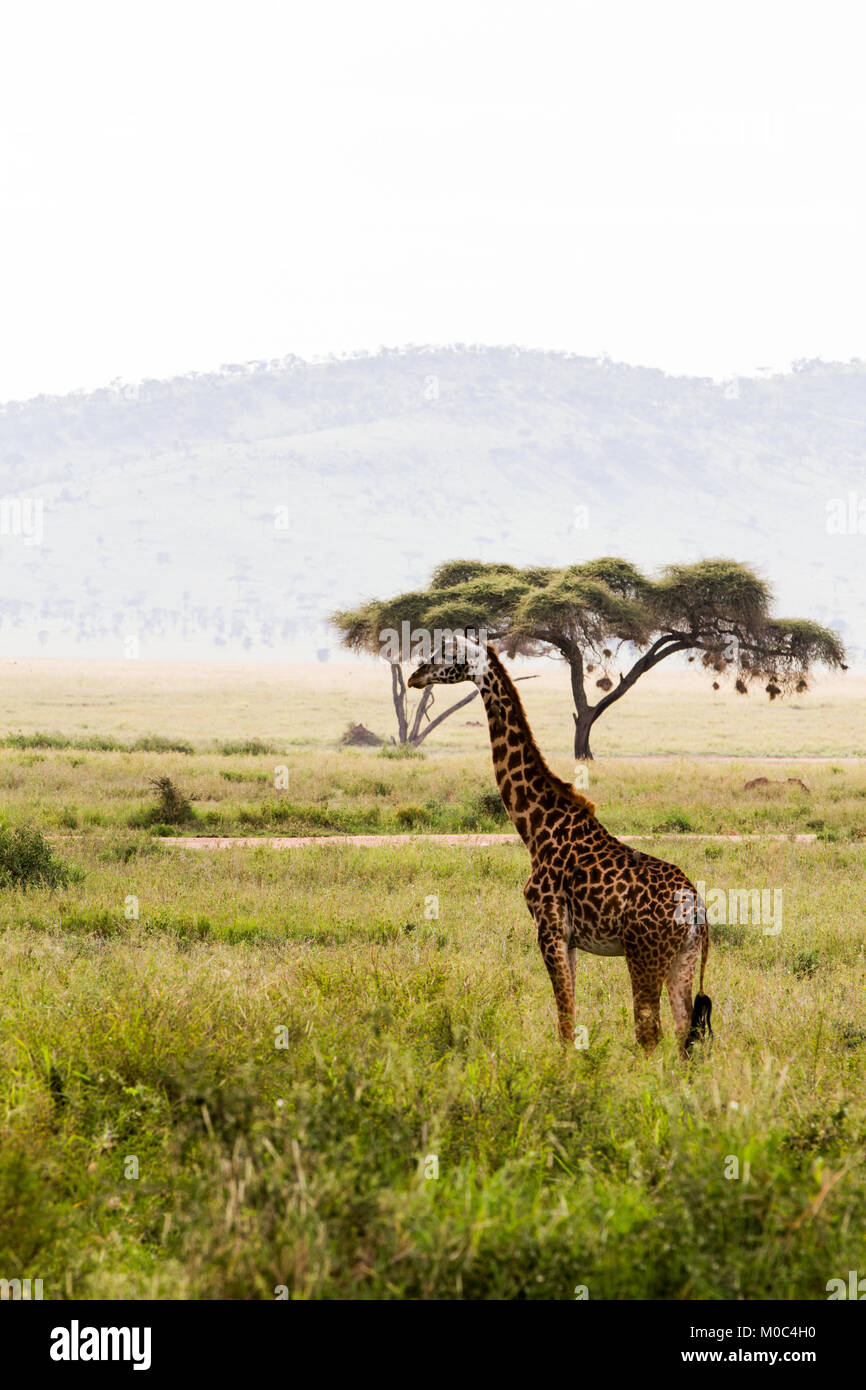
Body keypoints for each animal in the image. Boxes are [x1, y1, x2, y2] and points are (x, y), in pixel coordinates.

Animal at [407, 636, 712, 1055]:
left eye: (449, 654)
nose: (415, 676)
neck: (536, 828)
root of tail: (696, 909)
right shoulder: (570, 940)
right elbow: (570, 1013)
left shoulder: (549, 929)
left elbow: (565, 1024)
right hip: (683, 957)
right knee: (685, 1035)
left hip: (644, 954)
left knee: (650, 1032)